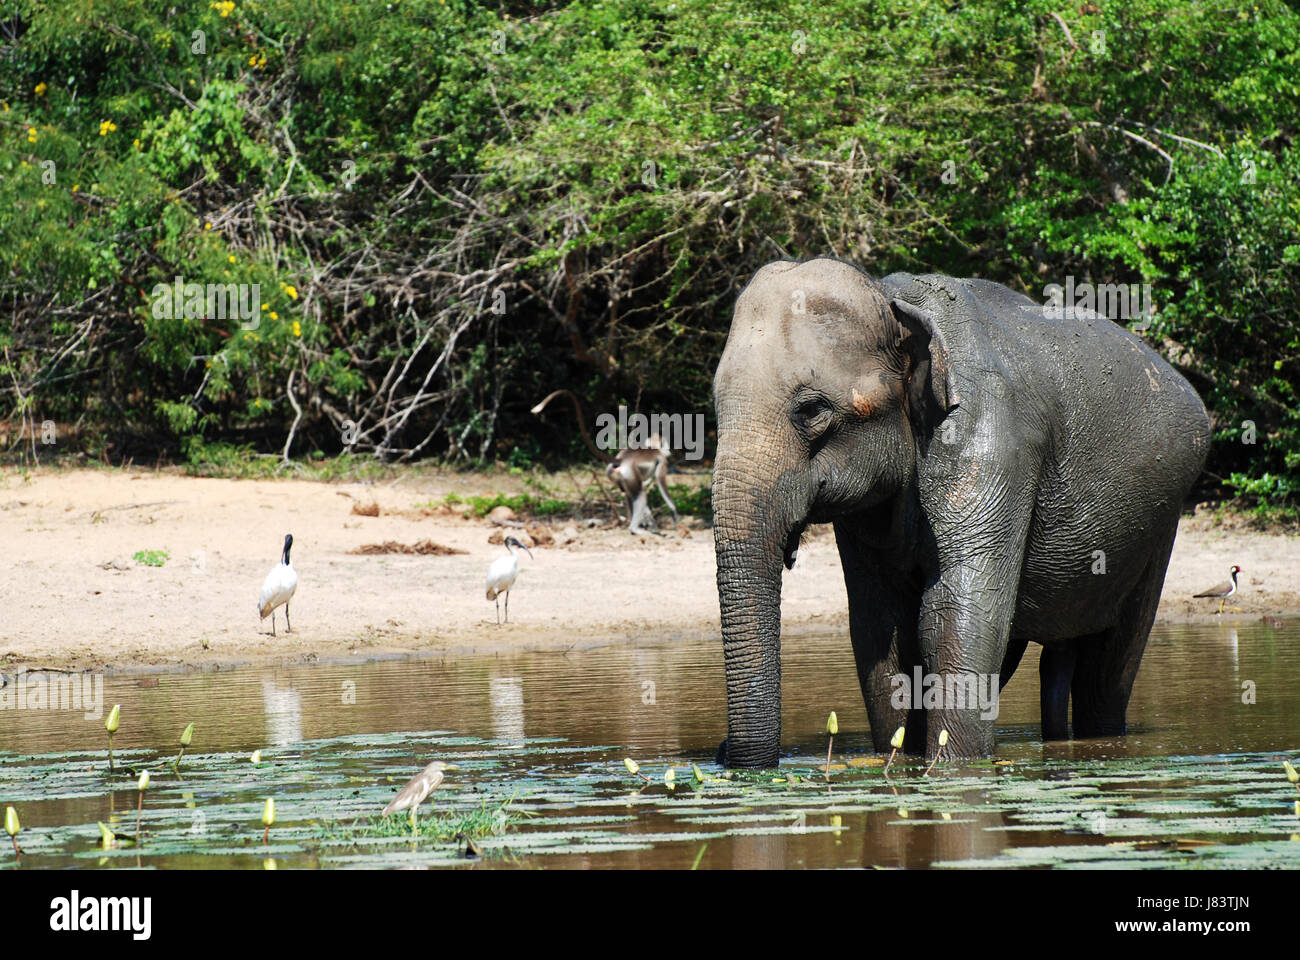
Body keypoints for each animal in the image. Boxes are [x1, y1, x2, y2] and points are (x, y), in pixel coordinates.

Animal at [712, 257, 1210, 767]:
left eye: (812, 410)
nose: (722, 749)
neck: (892, 302)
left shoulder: (991, 437)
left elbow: (954, 615)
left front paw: (950, 770)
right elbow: (881, 628)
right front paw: (903, 758)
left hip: (1160, 521)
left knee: (1107, 671)